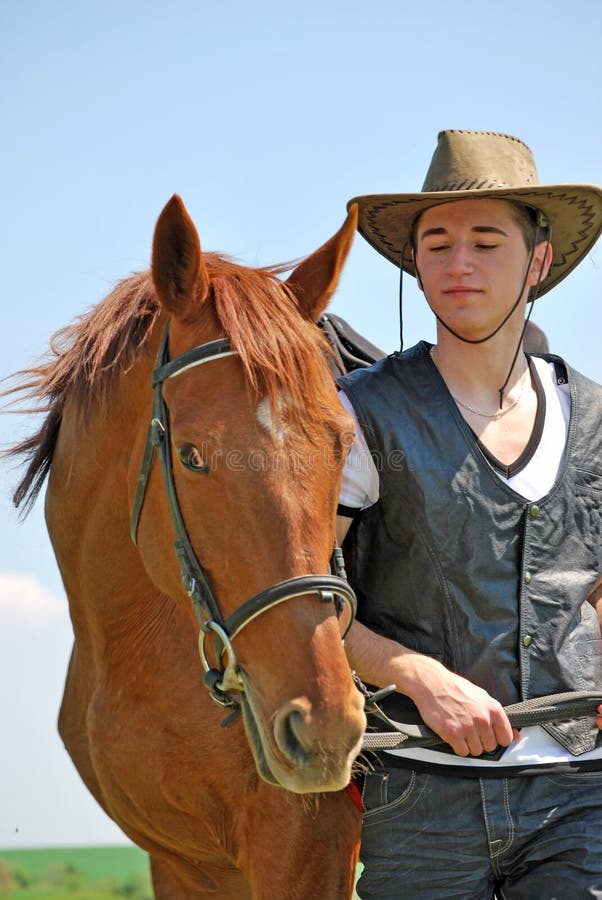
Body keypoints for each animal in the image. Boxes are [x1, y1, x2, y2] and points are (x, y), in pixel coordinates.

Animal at [6, 196, 367, 898]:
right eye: (192, 456)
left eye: (343, 444)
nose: (325, 725)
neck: (130, 649)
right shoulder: (182, 865)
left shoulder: (304, 853)